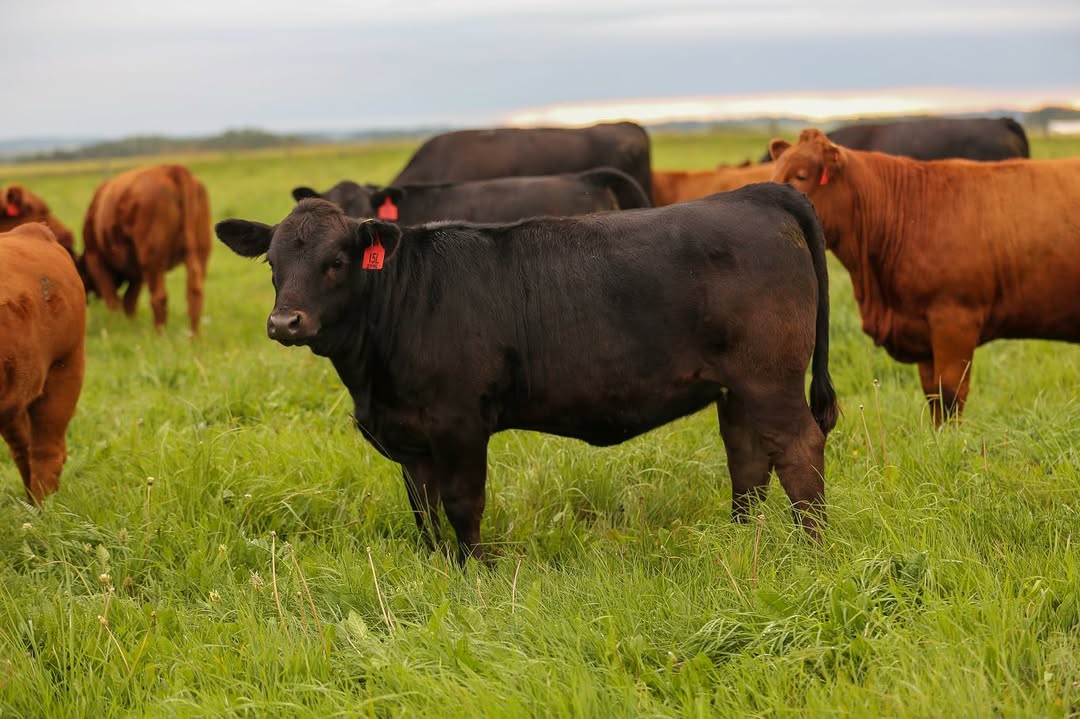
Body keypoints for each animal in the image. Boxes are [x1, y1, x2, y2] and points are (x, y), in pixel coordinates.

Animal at [79, 164, 211, 335]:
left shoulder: (96, 259)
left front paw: (119, 327)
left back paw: (158, 335)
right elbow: (129, 301)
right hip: (200, 253)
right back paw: (194, 337)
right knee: (195, 293)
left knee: (159, 297)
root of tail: (172, 169)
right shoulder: (137, 273)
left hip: (153, 261)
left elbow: (114, 301)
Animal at [216, 184, 838, 563]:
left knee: (798, 450)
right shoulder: (410, 439)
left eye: (337, 262)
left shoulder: (459, 422)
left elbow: (462, 503)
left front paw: (476, 573)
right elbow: (424, 512)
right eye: (272, 262)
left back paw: (812, 549)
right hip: (736, 389)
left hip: (769, 380)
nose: (285, 321)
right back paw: (741, 542)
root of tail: (756, 193)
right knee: (748, 461)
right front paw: (437, 568)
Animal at [769, 128, 1080, 424]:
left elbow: (950, 394)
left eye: (801, 175)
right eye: (773, 174)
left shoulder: (954, 321)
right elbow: (933, 397)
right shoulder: (922, 328)